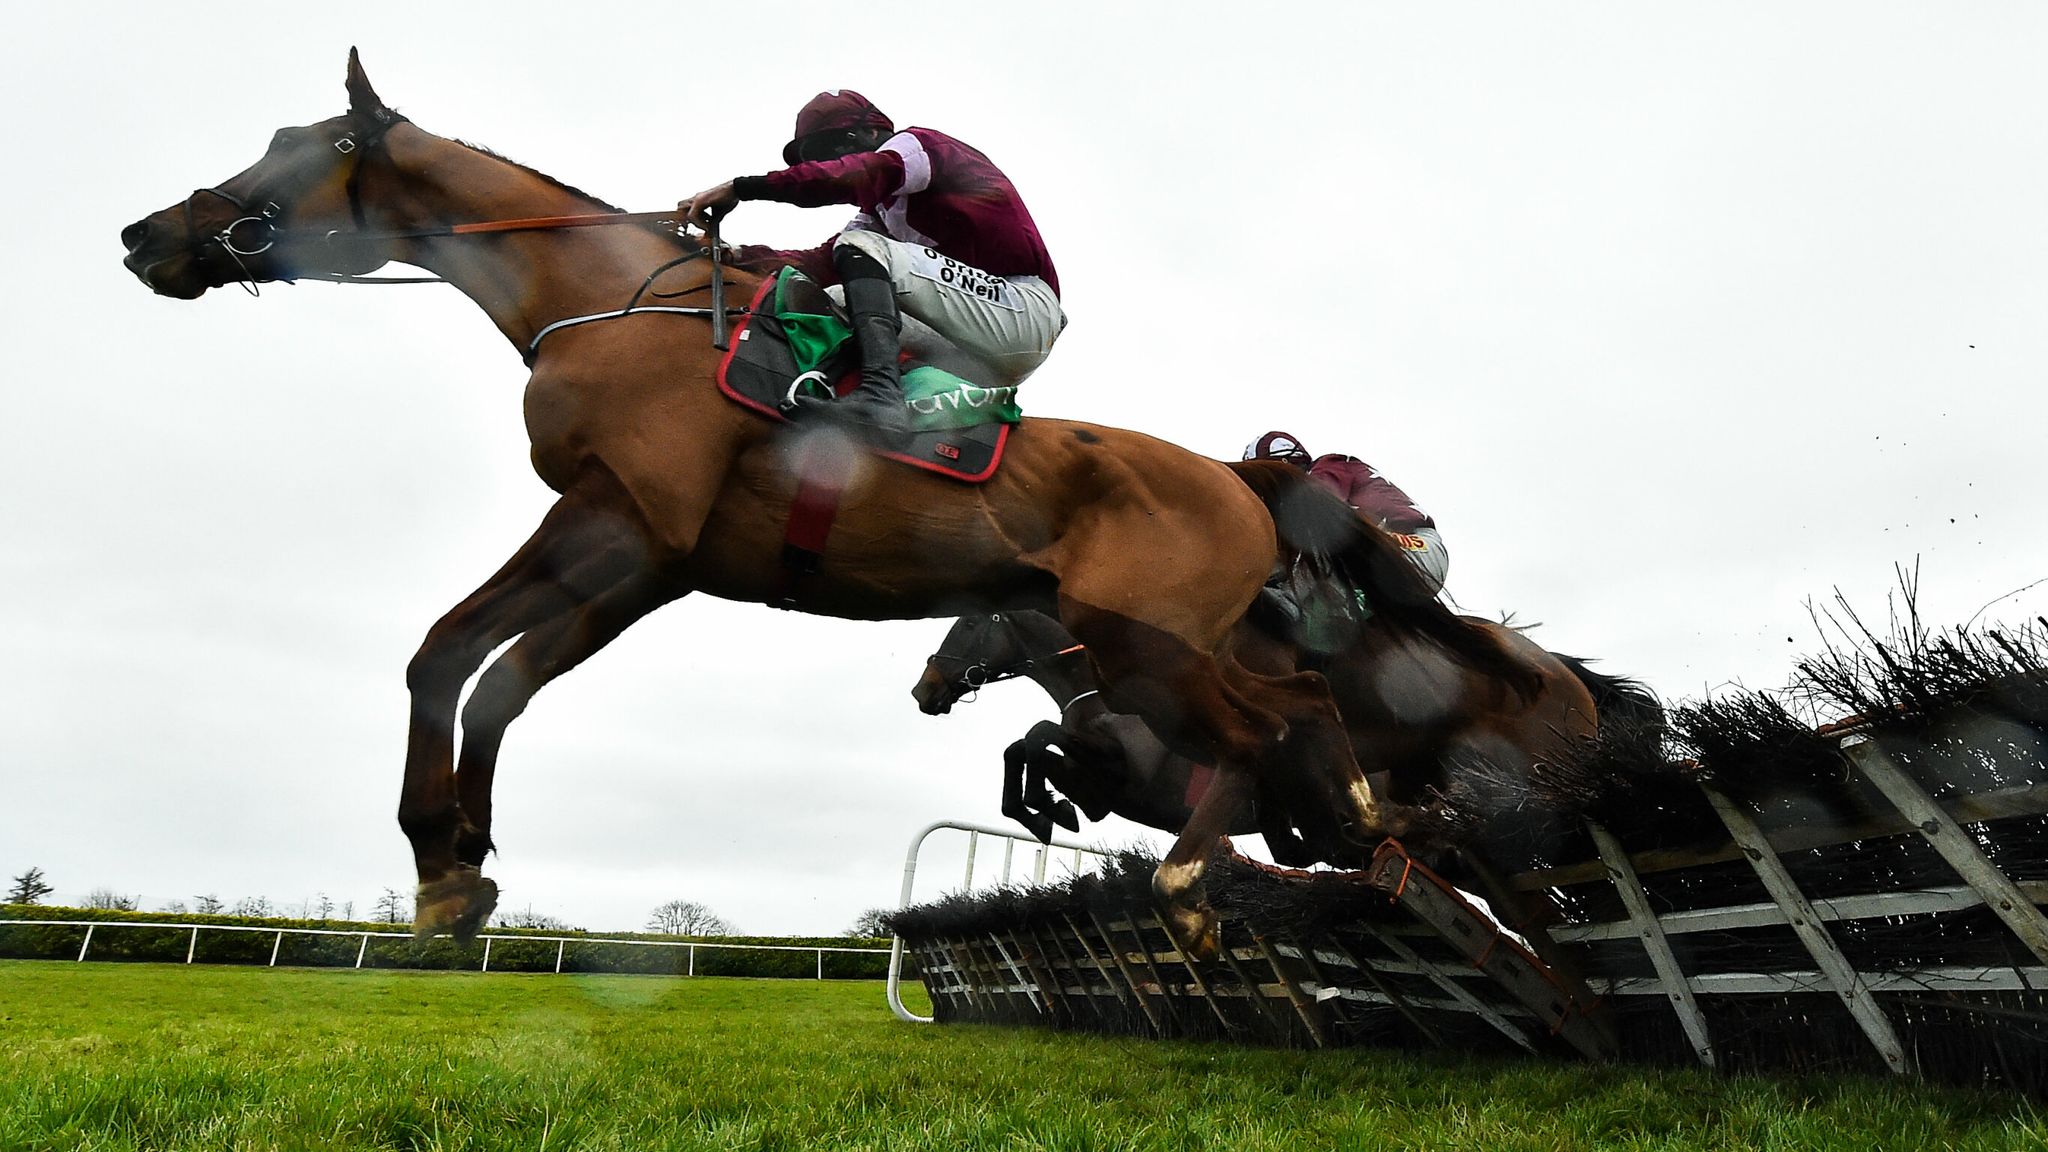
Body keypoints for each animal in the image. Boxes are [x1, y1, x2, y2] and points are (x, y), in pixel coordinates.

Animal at [118, 51, 1540, 955]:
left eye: (290, 150)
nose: (145, 235)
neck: (608, 303)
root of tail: (1241, 471)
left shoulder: (622, 529)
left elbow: (470, 661)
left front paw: (443, 855)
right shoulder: (635, 550)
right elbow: (475, 670)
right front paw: (454, 870)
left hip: (1143, 638)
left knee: (1264, 722)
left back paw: (1211, 875)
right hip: (1160, 644)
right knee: (1289, 708)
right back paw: (1360, 823)